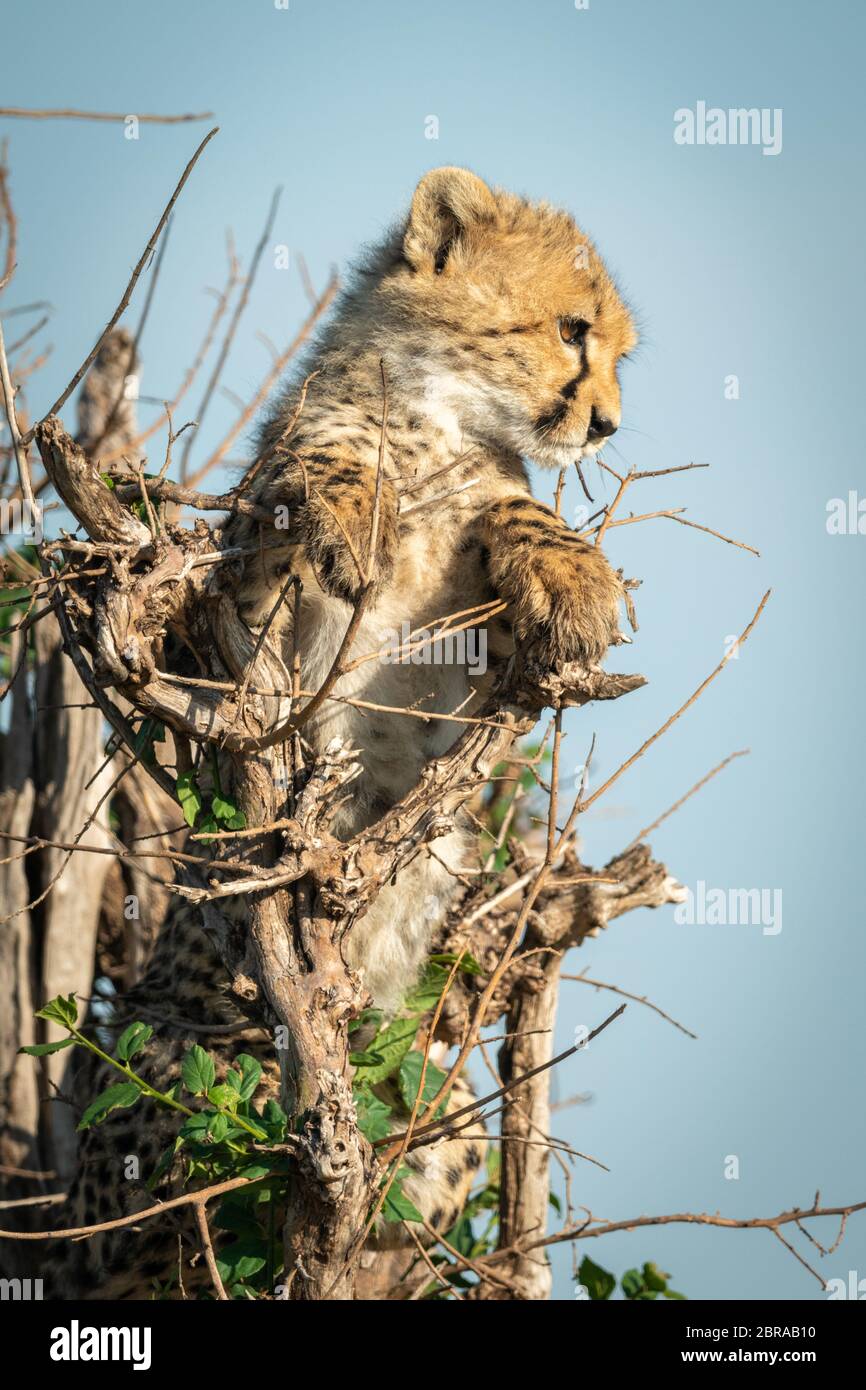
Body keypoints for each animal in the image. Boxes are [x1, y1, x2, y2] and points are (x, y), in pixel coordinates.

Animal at [47, 167, 636, 1299]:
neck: (436, 413)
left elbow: (513, 522)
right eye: (570, 329)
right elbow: (303, 480)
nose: (607, 426)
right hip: (188, 1077)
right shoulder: (225, 607)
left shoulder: (474, 667)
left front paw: (570, 572)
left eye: (612, 350)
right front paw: (352, 499)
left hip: (438, 1119)